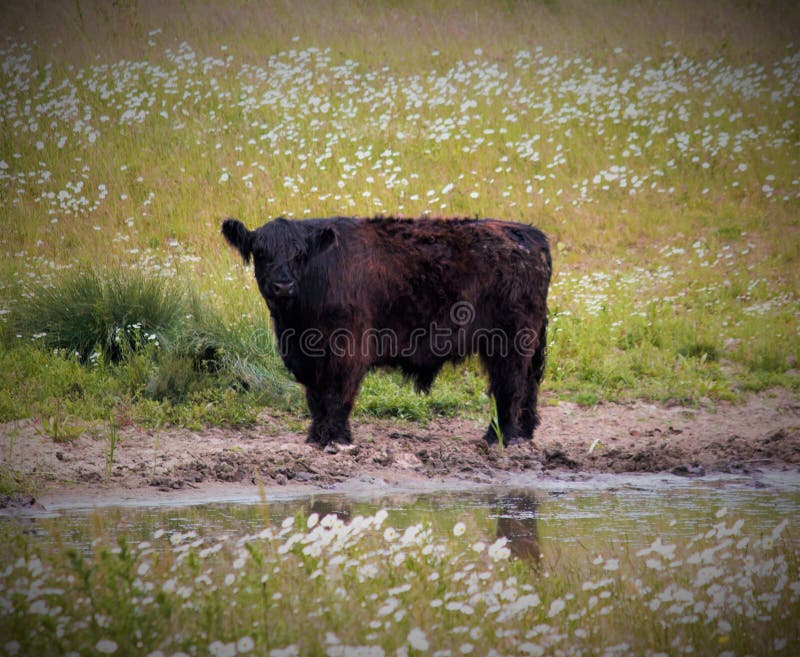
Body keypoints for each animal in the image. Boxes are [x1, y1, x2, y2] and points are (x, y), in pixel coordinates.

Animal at [222, 216, 551, 449]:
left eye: (300, 254)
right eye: (260, 253)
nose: (283, 285)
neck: (297, 322)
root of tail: (527, 233)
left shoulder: (347, 348)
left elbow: (337, 395)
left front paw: (337, 439)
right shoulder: (305, 355)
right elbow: (315, 398)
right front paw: (317, 436)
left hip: (510, 340)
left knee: (510, 384)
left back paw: (499, 437)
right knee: (529, 384)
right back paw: (524, 432)